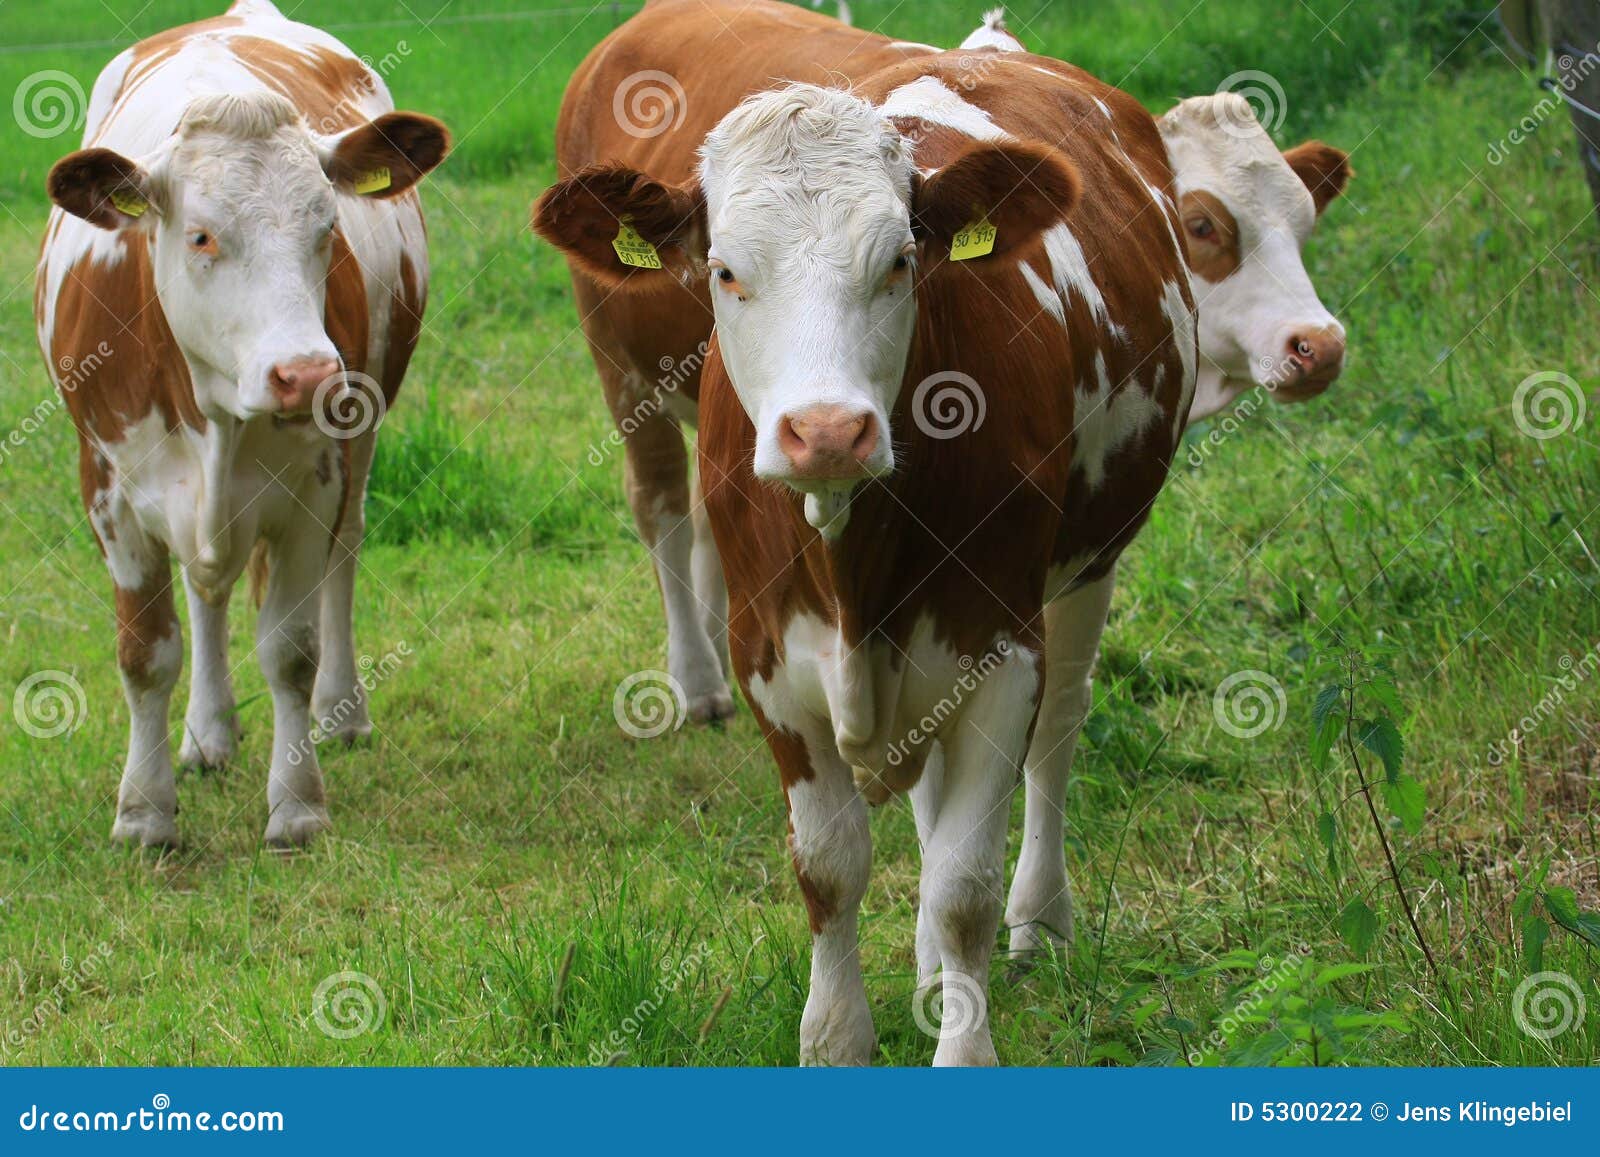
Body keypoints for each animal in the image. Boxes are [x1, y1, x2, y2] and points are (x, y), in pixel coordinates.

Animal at [35, 0, 449, 847]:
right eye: (201, 234)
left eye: (327, 228)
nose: (307, 373)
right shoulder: (109, 491)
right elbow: (146, 653)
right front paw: (145, 810)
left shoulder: (314, 485)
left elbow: (290, 649)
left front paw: (296, 804)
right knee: (207, 589)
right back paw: (208, 731)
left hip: (360, 443)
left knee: (342, 558)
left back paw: (339, 710)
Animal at [538, 39, 1199, 1065]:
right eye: (723, 270)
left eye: (900, 261)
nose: (826, 431)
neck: (851, 561)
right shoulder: (766, 659)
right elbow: (830, 868)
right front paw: (838, 1037)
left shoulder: (999, 647)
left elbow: (965, 883)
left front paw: (966, 1039)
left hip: (1088, 567)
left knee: (1057, 735)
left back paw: (1041, 918)